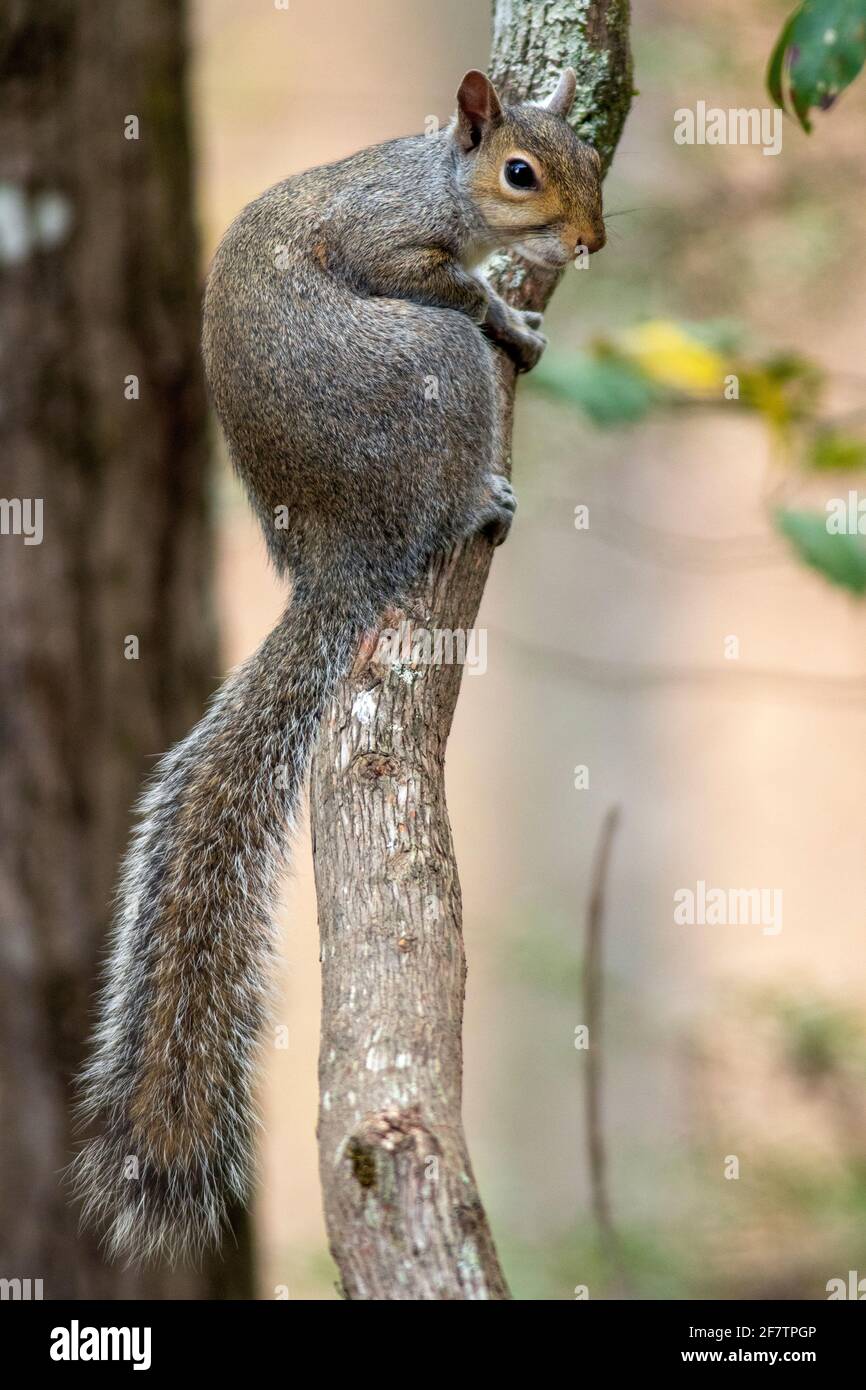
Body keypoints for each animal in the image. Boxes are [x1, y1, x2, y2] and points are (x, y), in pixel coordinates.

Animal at [73, 67, 605, 1262]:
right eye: (520, 172)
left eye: (591, 159)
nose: (592, 239)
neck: (435, 177)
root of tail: (336, 555)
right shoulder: (389, 246)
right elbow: (449, 289)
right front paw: (505, 312)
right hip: (426, 378)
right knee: (447, 418)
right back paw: (477, 498)